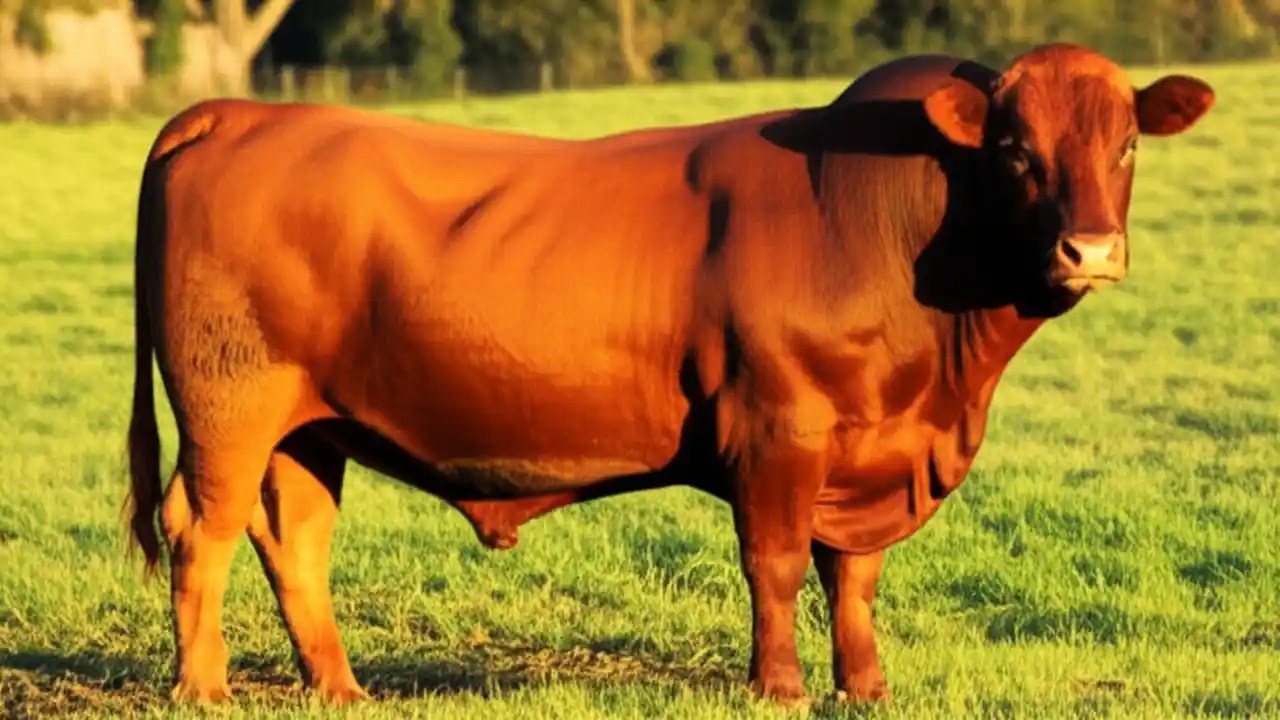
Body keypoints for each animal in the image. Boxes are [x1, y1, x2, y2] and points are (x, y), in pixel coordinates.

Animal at [125, 43, 1213, 706]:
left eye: (1124, 143)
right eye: (1015, 149)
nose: (1089, 250)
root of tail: (236, 114)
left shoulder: (870, 447)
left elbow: (853, 577)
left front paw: (865, 687)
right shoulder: (780, 427)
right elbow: (777, 563)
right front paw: (779, 686)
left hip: (308, 425)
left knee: (292, 540)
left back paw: (339, 688)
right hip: (230, 407)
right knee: (203, 531)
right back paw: (204, 689)